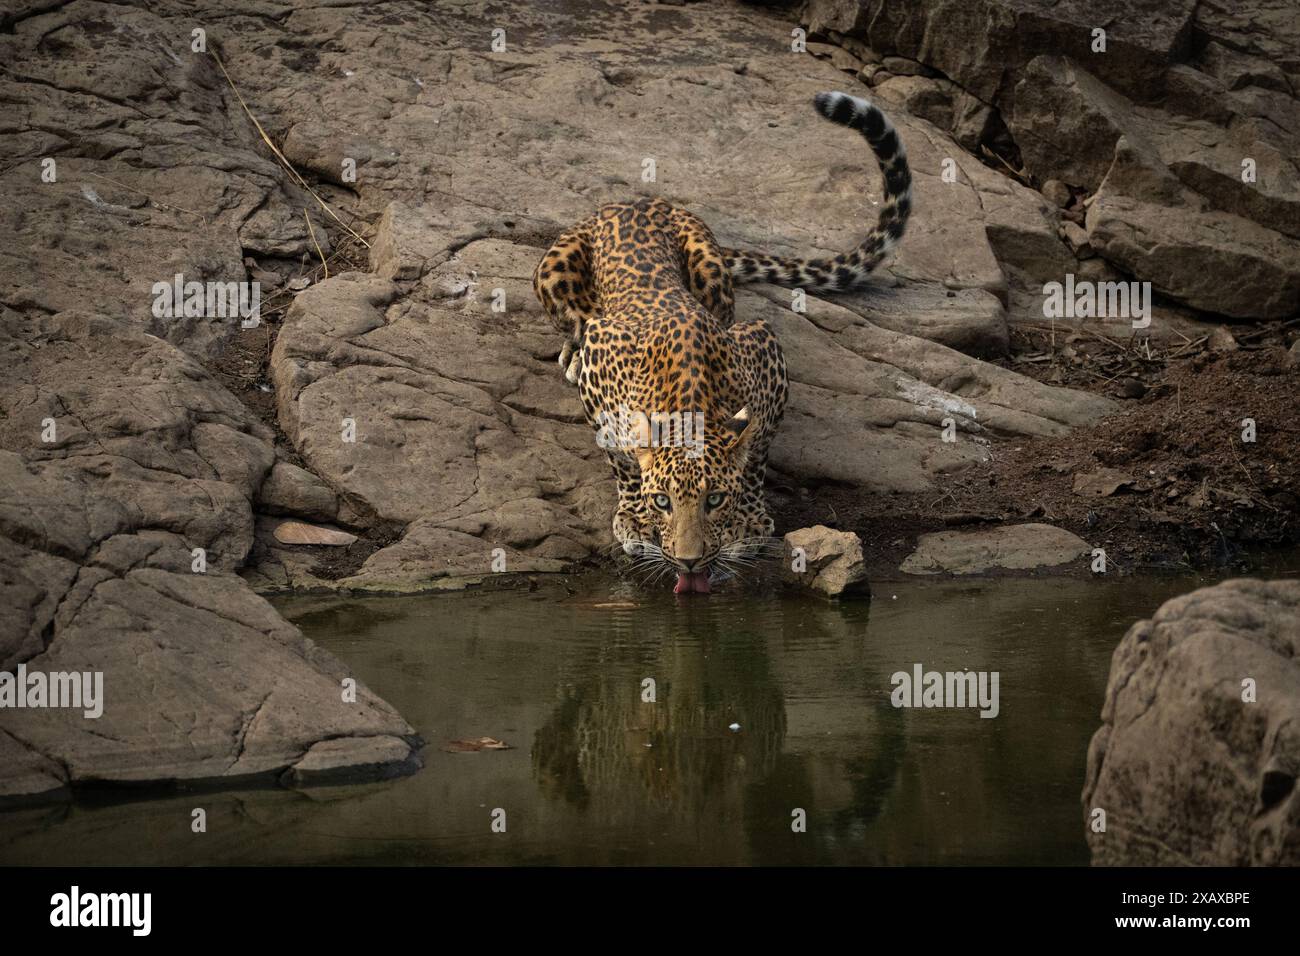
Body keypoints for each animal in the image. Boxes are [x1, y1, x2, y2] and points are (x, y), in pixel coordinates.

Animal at [533, 92, 912, 593]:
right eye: (663, 502)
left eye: (714, 500)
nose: (690, 561)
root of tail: (638, 200)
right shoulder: (601, 357)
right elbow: (620, 455)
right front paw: (633, 518)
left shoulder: (763, 348)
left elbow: (757, 449)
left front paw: (748, 519)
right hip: (552, 268)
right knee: (572, 318)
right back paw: (568, 353)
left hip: (709, 264)